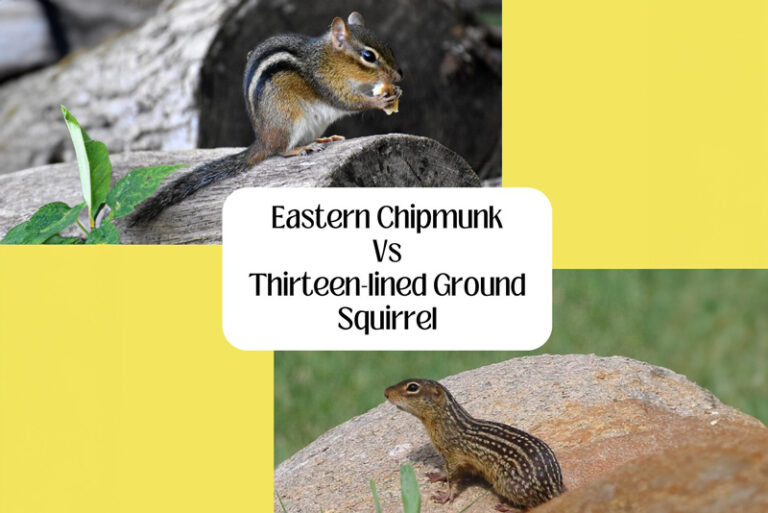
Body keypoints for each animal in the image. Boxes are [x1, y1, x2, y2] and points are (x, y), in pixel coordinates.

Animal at [130, 11, 402, 225]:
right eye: (368, 56)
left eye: (390, 47)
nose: (399, 75)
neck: (329, 59)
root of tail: (262, 139)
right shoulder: (327, 84)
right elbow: (348, 102)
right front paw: (380, 101)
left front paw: (395, 91)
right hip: (288, 119)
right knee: (280, 150)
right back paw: (299, 149)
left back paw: (323, 140)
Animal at [385, 379, 565, 511]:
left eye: (412, 387)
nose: (385, 392)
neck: (449, 424)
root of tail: (555, 487)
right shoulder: (458, 461)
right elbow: (450, 473)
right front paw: (438, 475)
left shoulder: (454, 456)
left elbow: (452, 479)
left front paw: (446, 496)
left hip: (506, 484)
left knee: (532, 506)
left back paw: (508, 507)